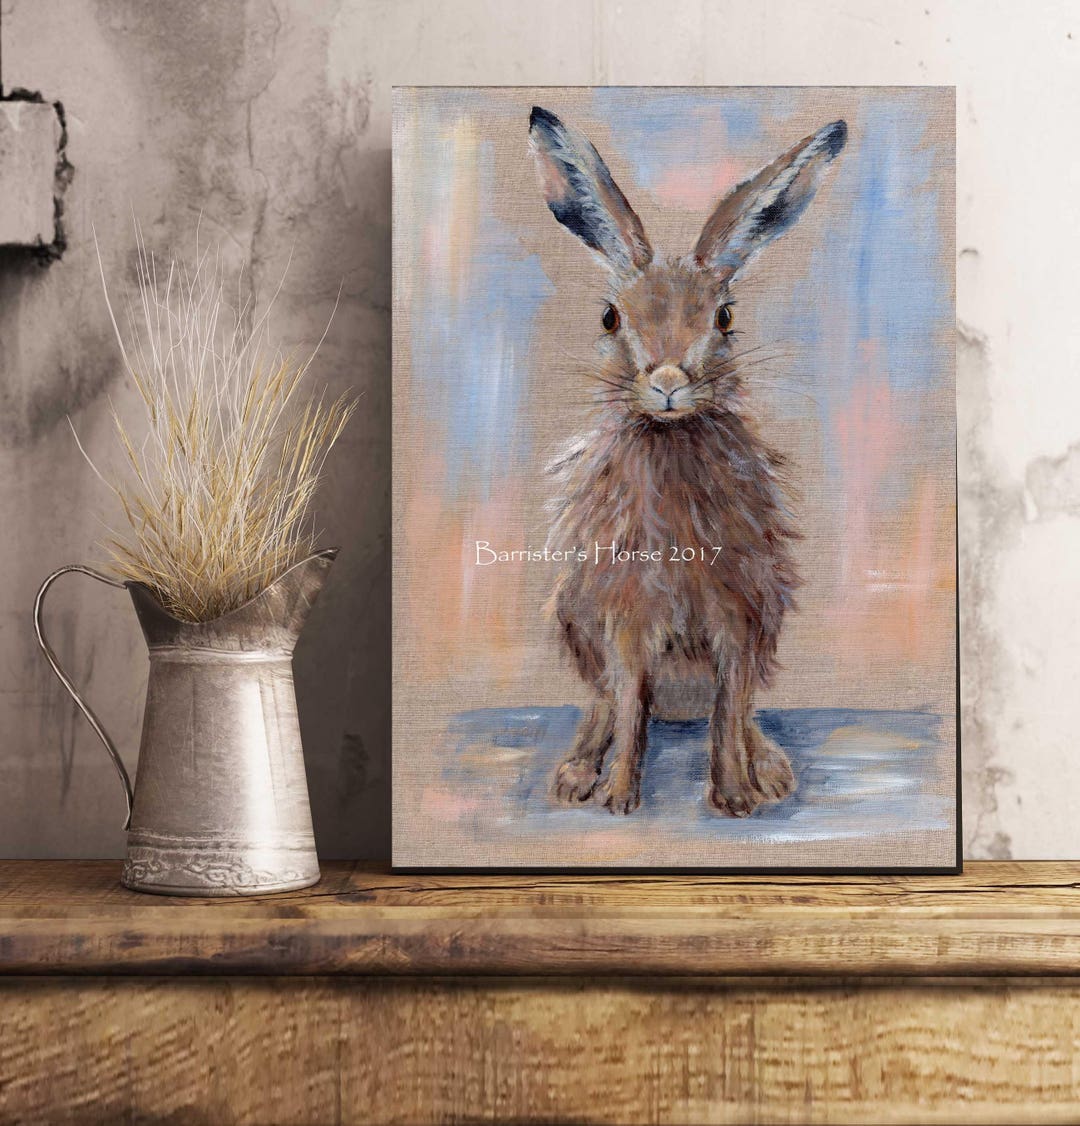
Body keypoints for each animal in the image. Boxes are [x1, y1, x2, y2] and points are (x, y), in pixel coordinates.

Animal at [528, 105, 846, 817]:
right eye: (611, 317)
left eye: (724, 317)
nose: (670, 379)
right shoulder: (626, 615)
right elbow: (629, 707)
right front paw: (620, 796)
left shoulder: (740, 614)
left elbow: (728, 711)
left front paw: (734, 797)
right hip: (576, 619)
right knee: (607, 704)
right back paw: (575, 775)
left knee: (739, 710)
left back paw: (770, 769)